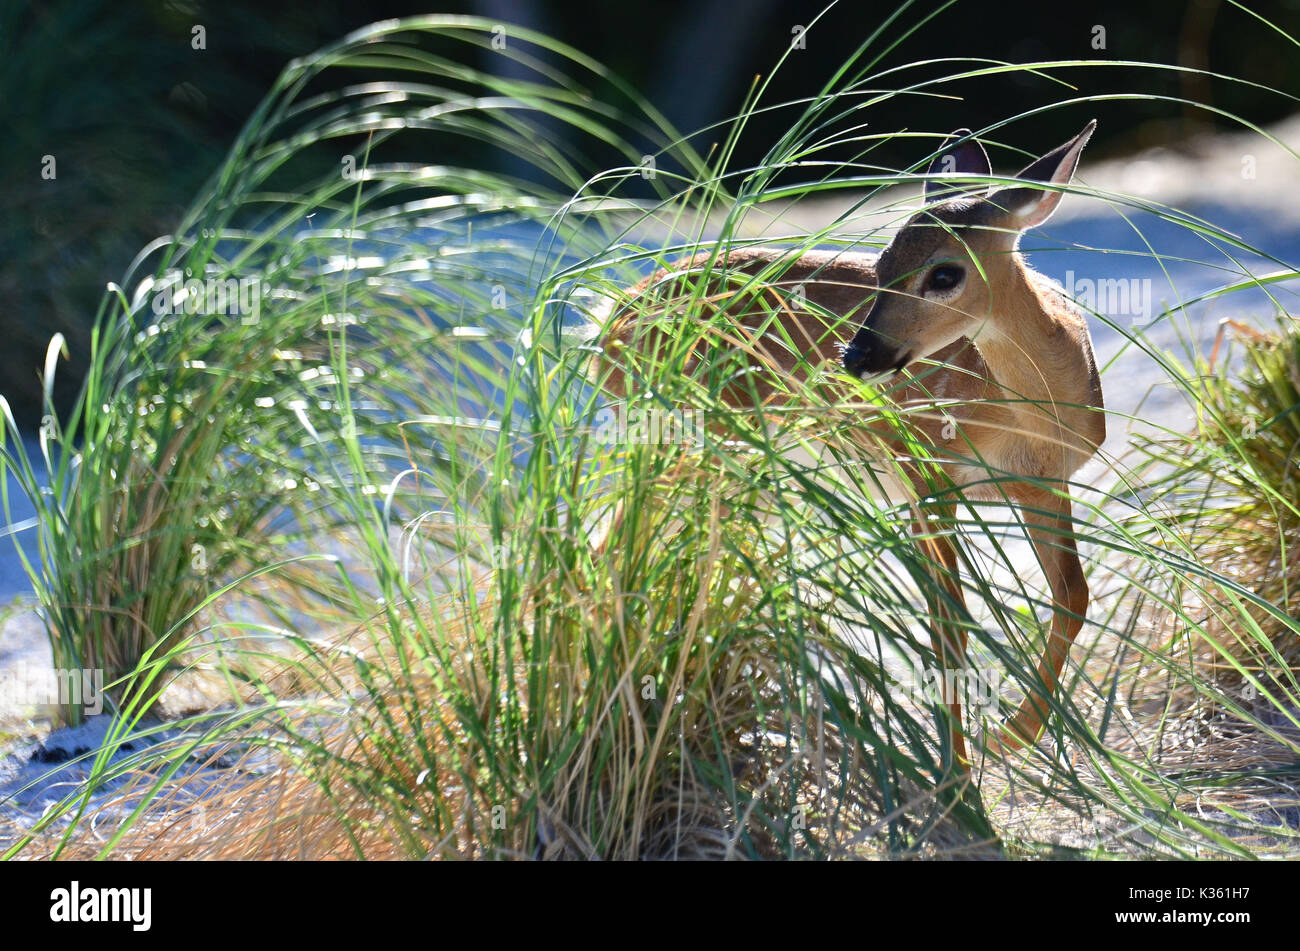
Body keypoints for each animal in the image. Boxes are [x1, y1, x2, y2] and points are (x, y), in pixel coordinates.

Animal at [587, 122, 1105, 771]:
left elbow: (1072, 597)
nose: (855, 356)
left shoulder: (1044, 481)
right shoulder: (924, 470)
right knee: (614, 544)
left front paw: (1013, 736)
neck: (1034, 416)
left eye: (945, 274)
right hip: (700, 436)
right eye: (881, 262)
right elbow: (950, 623)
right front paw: (958, 774)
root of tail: (605, 324)